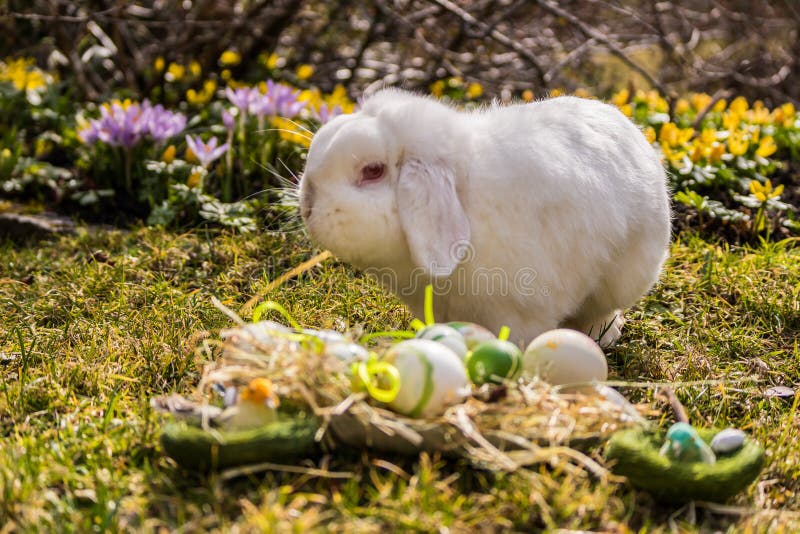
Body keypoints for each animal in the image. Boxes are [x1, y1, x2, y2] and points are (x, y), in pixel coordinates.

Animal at [299, 88, 671, 347]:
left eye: (372, 171)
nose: (307, 203)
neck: (464, 193)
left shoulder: (519, 310)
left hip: (621, 277)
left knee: (599, 311)